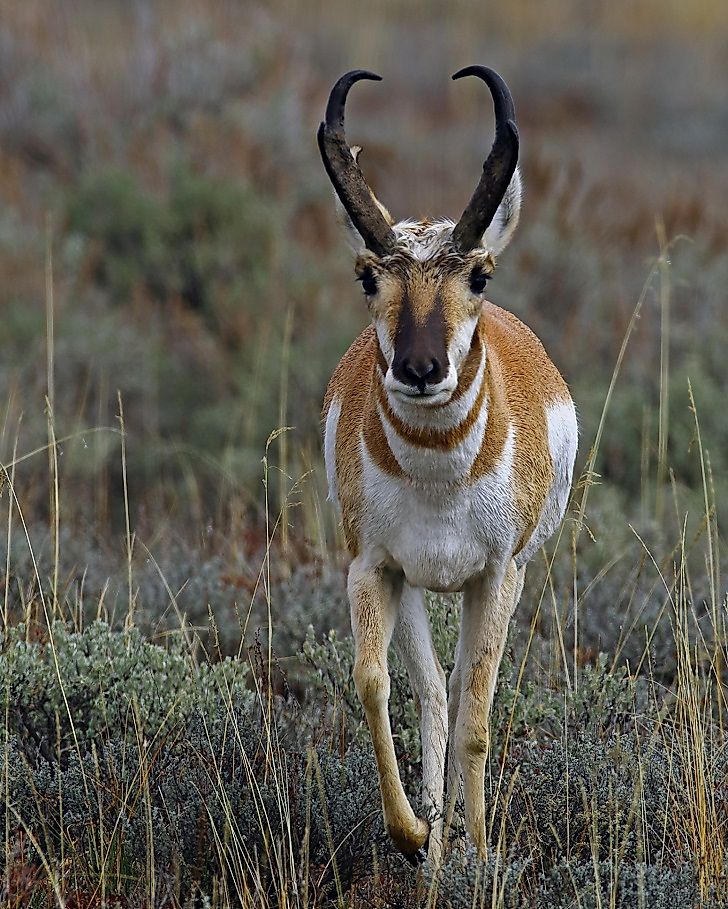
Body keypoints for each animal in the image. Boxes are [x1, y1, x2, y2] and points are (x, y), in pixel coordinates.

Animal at [319, 67, 577, 865]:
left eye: (480, 277)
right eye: (370, 277)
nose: (420, 368)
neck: (438, 478)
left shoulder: (497, 575)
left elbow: (478, 719)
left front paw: (483, 851)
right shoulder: (374, 567)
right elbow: (376, 685)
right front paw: (412, 833)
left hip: (487, 586)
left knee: (462, 691)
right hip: (417, 587)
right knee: (434, 688)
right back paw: (433, 837)